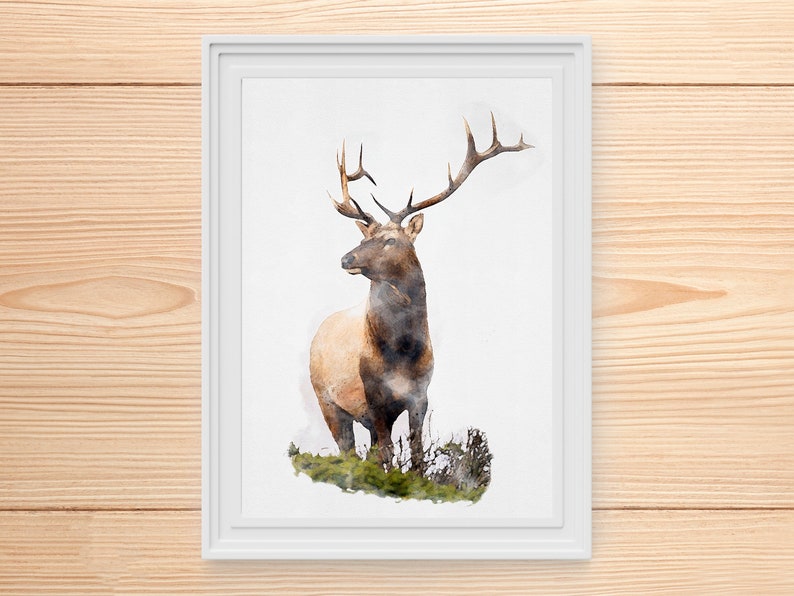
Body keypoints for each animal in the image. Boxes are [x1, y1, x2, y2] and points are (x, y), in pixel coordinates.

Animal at [309, 114, 532, 472]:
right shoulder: (372, 397)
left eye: (390, 240)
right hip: (326, 401)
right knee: (349, 452)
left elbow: (416, 453)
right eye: (363, 237)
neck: (401, 354)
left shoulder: (420, 395)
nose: (346, 258)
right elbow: (387, 454)